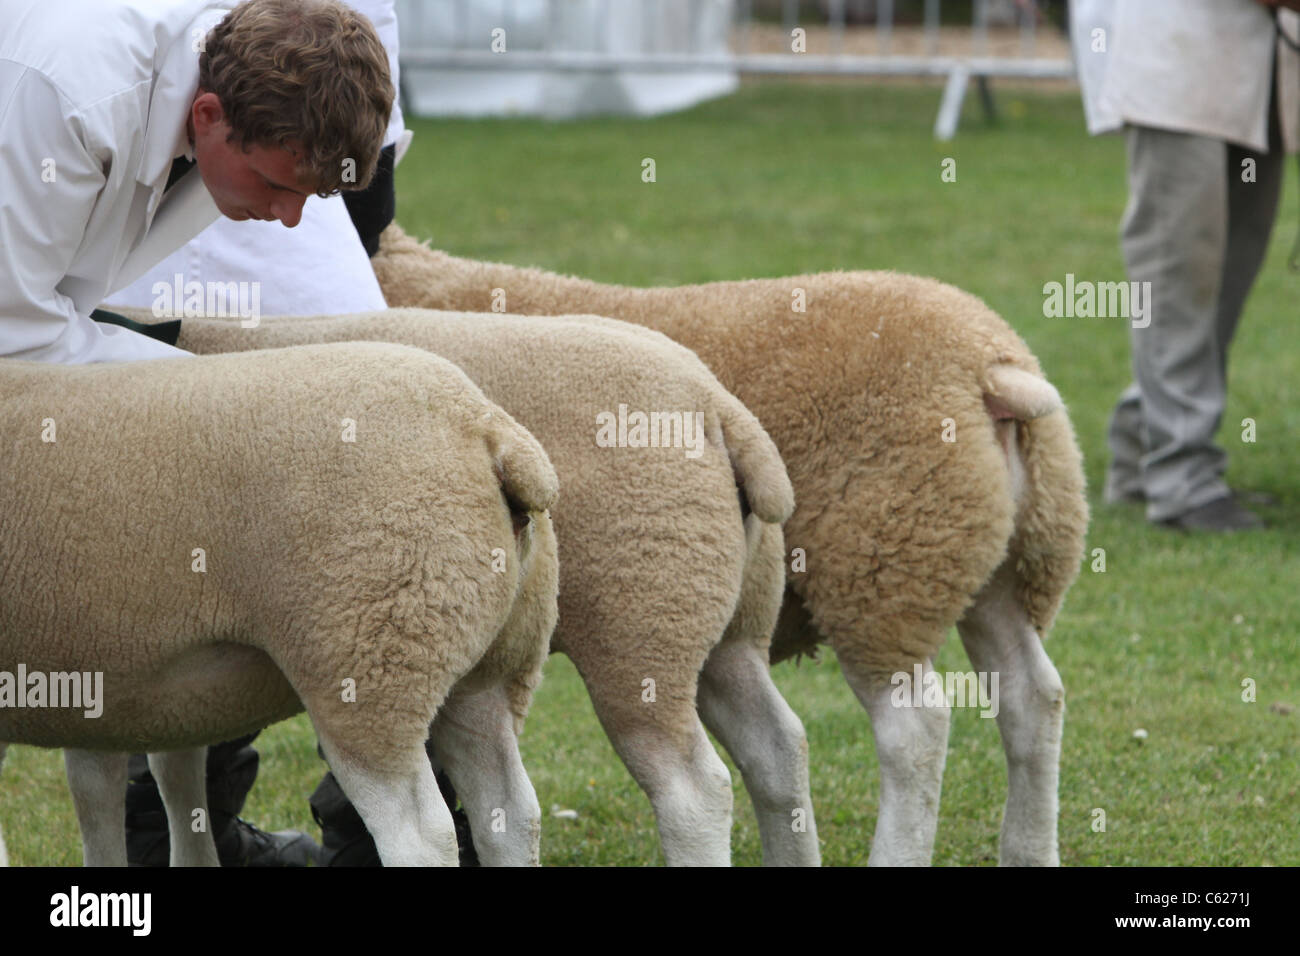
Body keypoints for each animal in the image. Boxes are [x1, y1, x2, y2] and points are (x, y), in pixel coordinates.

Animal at [0, 341, 560, 867]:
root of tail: (482, 426)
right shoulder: (102, 681)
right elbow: (107, 791)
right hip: (490, 663)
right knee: (512, 814)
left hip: (371, 663)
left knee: (420, 836)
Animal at [107, 305, 813, 867]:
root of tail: (718, 405)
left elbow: (170, 763)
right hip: (729, 621)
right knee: (777, 750)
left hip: (645, 617)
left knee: (693, 790)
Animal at [368, 223, 1091, 866]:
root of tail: (992, 367)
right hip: (1001, 560)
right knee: (1033, 697)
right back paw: (1030, 852)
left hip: (882, 568)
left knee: (913, 729)